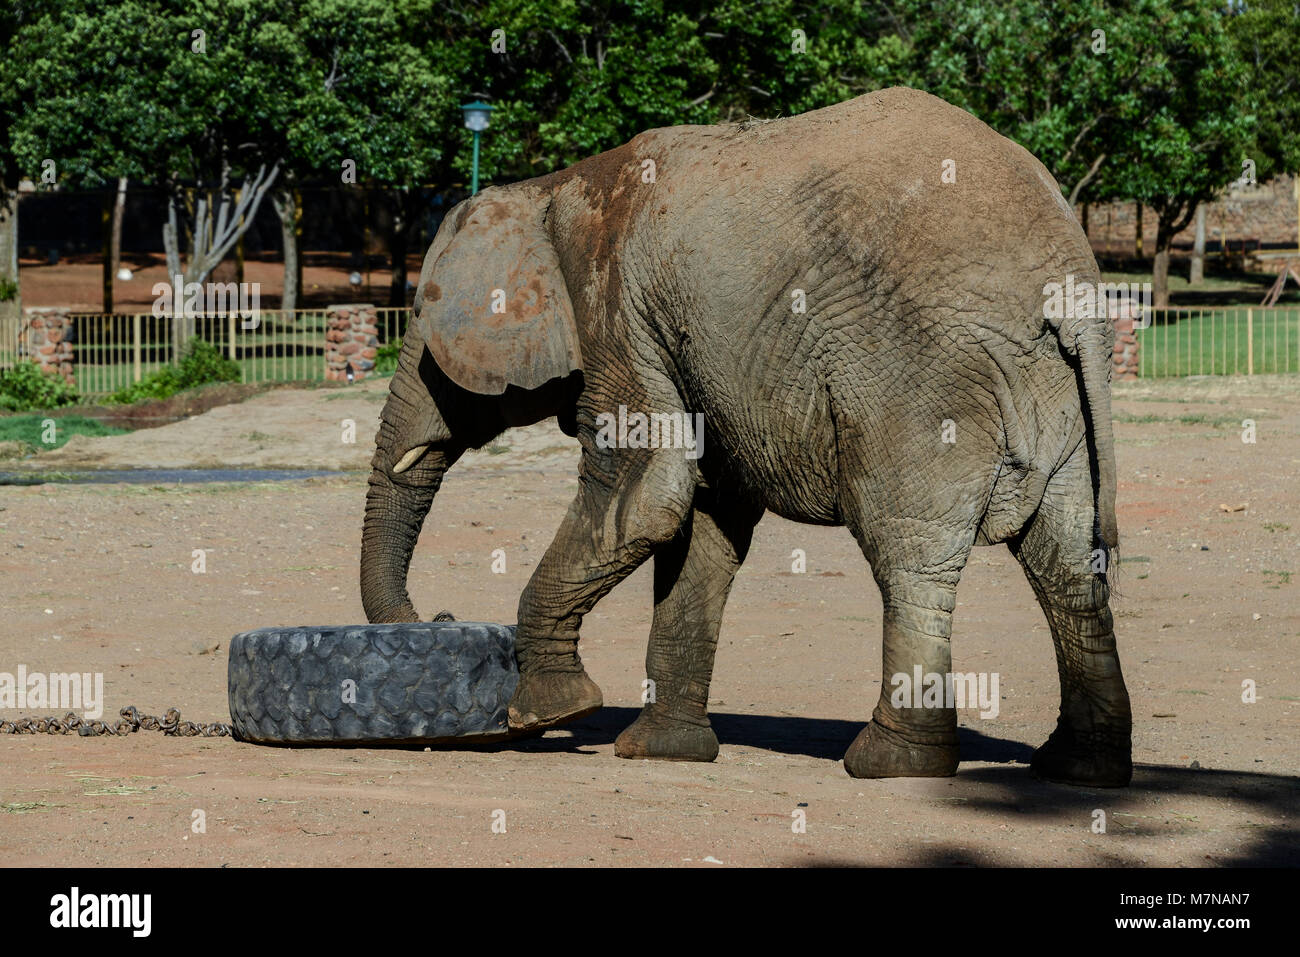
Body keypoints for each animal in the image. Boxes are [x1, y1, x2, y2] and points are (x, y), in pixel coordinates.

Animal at [360, 86, 1133, 787]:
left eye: (422, 332)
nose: (437, 613)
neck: (545, 187)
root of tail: (1067, 273)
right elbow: (702, 521)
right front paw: (659, 752)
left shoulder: (615, 313)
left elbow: (645, 496)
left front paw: (549, 714)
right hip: (1058, 394)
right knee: (1066, 564)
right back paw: (1079, 768)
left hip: (922, 380)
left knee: (911, 552)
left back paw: (889, 763)